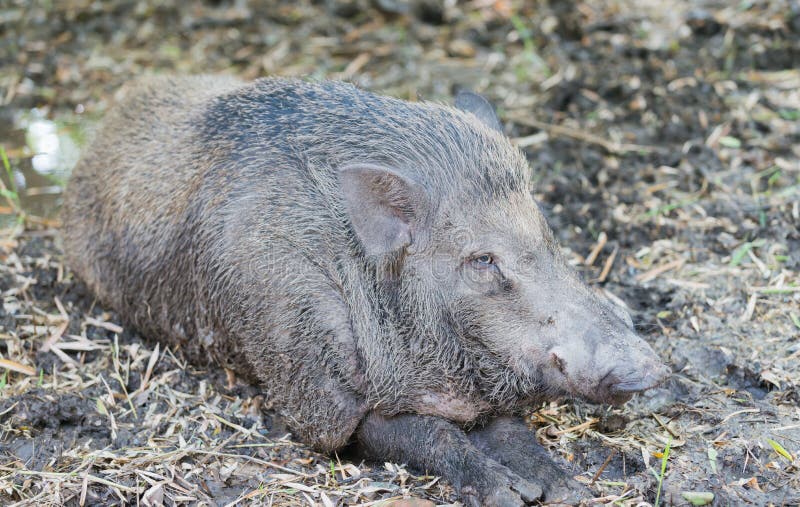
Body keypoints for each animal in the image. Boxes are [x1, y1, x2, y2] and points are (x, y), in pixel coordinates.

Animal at [62, 75, 669, 506]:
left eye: (547, 235)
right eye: (482, 260)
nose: (651, 369)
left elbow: (511, 429)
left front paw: (569, 490)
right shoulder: (308, 377)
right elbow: (428, 434)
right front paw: (512, 496)